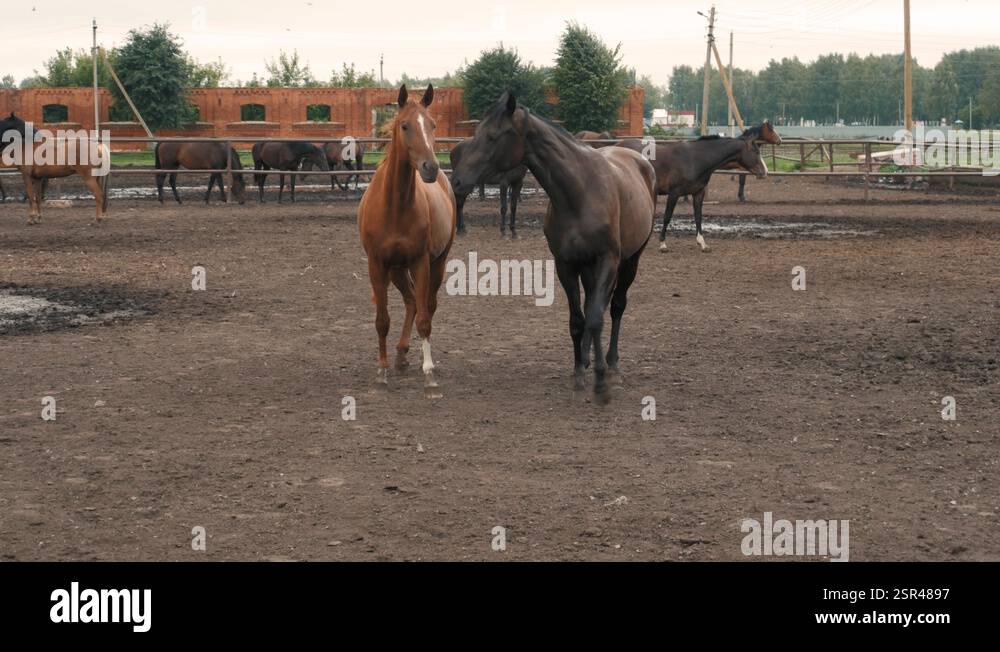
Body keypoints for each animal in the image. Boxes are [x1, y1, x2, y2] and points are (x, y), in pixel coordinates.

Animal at [358, 84, 456, 398]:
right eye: (405, 125)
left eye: (433, 125)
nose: (430, 167)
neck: (395, 206)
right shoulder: (377, 266)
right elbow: (382, 321)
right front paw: (381, 372)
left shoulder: (420, 262)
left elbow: (425, 320)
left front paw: (429, 375)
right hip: (397, 270)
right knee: (412, 301)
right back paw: (400, 355)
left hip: (437, 262)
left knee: (427, 305)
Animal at [452, 92, 657, 404]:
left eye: (492, 136)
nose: (457, 180)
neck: (580, 193)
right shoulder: (565, 265)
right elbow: (577, 320)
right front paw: (579, 372)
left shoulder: (607, 260)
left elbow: (596, 318)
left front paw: (600, 383)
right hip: (588, 268)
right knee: (591, 304)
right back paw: (588, 359)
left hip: (631, 260)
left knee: (616, 307)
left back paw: (612, 365)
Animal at [616, 125, 770, 253]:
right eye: (755, 151)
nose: (765, 172)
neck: (695, 159)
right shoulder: (674, 193)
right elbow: (667, 217)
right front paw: (662, 244)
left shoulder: (698, 193)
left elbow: (698, 217)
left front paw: (702, 243)